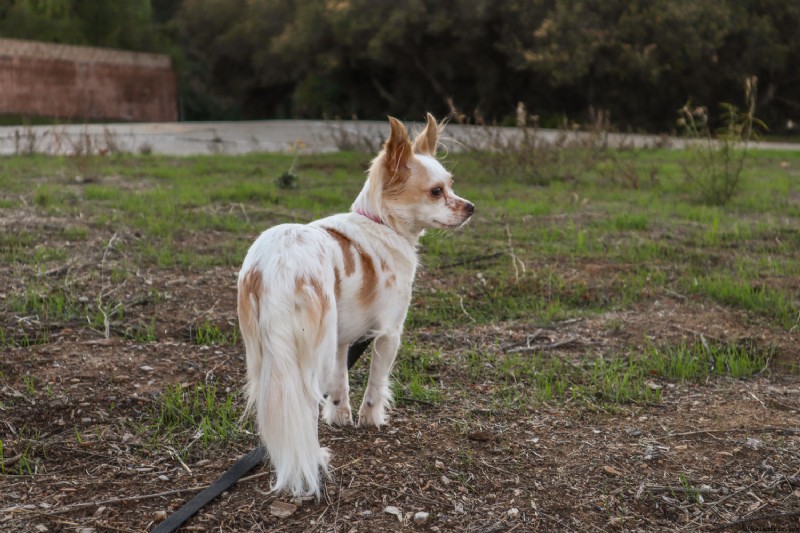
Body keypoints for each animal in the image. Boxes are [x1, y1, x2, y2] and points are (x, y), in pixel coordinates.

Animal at [238, 114, 476, 496]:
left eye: (451, 185)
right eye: (436, 191)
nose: (471, 207)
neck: (381, 223)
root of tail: (279, 264)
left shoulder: (342, 337)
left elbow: (340, 383)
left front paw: (341, 416)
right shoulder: (390, 333)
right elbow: (376, 384)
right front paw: (370, 420)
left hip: (263, 355)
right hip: (310, 352)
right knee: (304, 402)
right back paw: (314, 457)